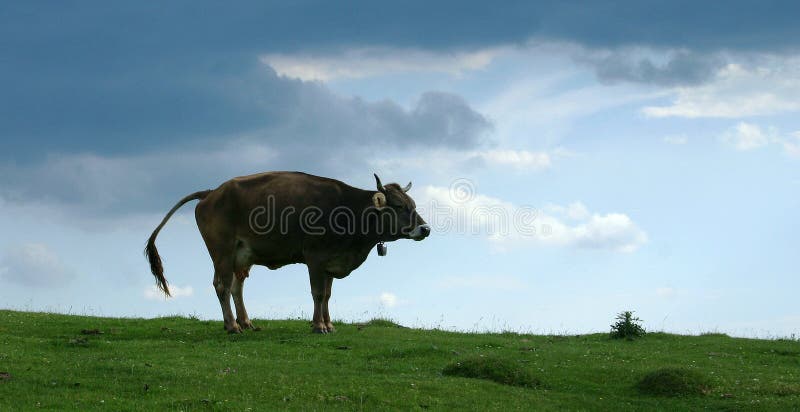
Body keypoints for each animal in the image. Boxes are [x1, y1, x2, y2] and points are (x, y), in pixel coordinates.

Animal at [145, 172, 430, 333]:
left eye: (413, 204)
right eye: (399, 206)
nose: (425, 228)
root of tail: (212, 191)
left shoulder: (330, 261)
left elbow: (327, 295)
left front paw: (329, 324)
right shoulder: (315, 258)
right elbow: (317, 294)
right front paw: (318, 326)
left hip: (240, 256)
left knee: (236, 287)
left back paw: (245, 322)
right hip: (221, 253)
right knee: (222, 286)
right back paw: (232, 326)